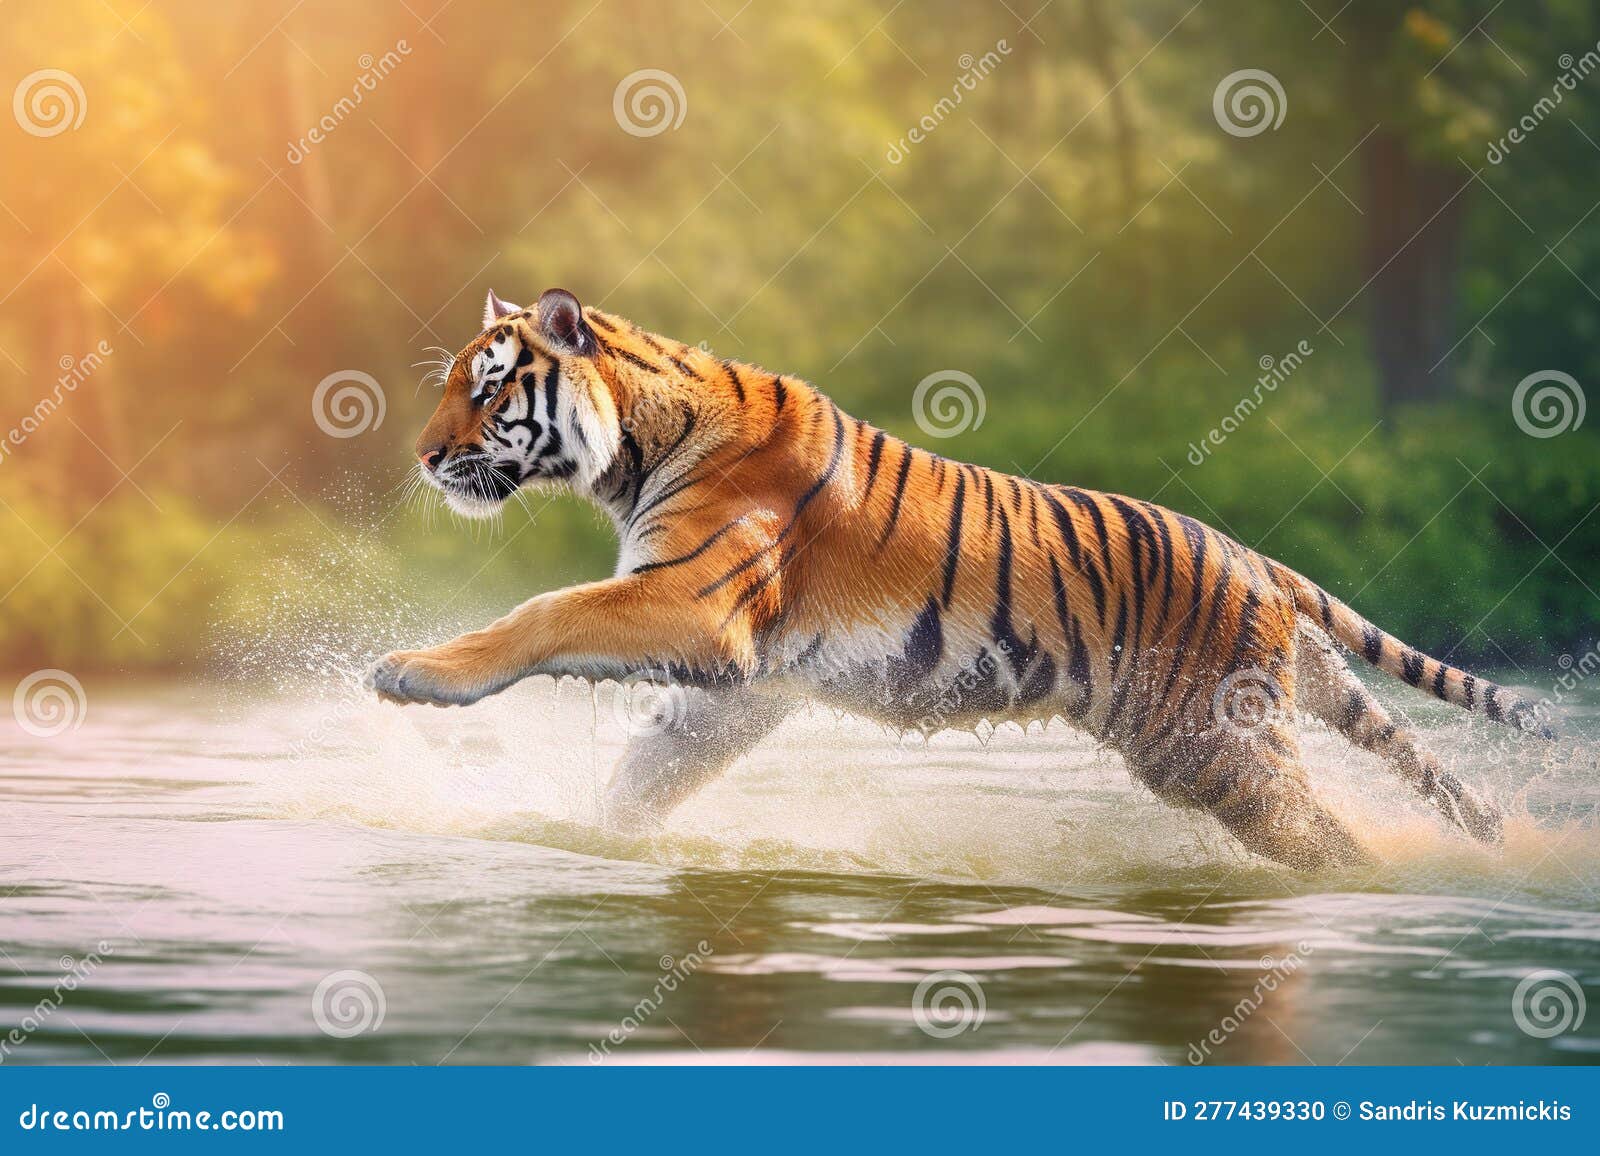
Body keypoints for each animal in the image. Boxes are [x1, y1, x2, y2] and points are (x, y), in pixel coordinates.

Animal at [366, 286, 1553, 871]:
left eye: (485, 391)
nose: (420, 458)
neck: (630, 451)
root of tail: (1258, 558)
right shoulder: (746, 681)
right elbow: (650, 769)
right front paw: (591, 841)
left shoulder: (693, 606)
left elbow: (544, 614)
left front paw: (410, 673)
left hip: (1213, 749)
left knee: (1330, 840)